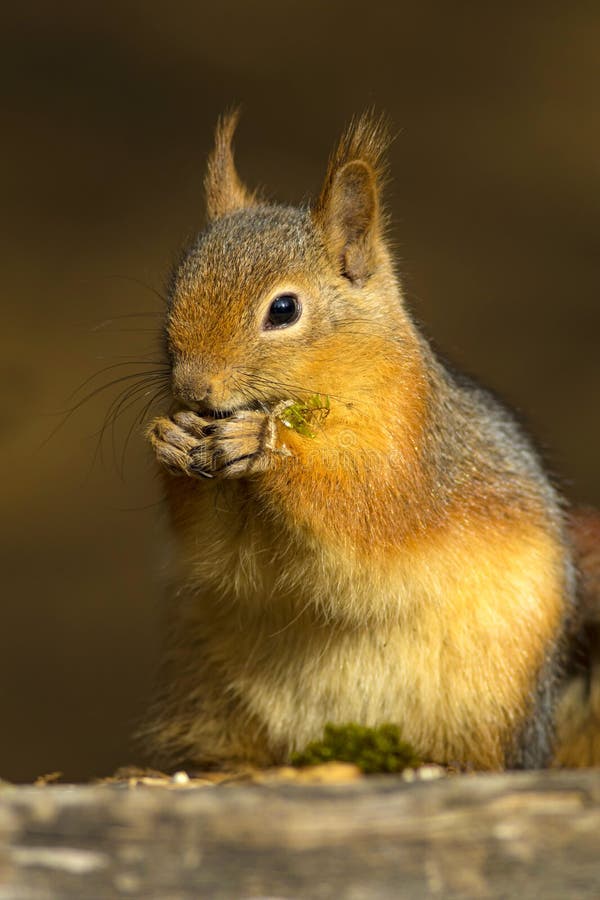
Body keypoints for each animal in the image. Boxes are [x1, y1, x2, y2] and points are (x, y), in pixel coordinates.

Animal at [142, 110, 599, 771]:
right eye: (176, 288)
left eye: (283, 309)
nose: (194, 388)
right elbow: (218, 550)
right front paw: (172, 438)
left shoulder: (410, 445)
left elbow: (364, 505)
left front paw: (264, 444)